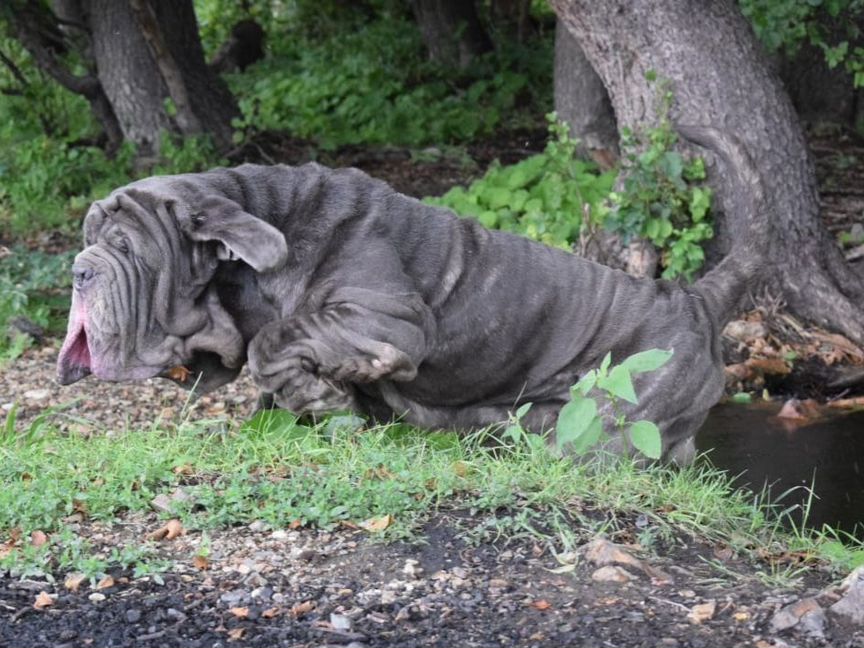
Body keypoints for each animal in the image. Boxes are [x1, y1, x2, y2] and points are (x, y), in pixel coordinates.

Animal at [57, 126, 760, 460]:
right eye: (91, 236)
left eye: (126, 247)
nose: (79, 269)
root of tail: (697, 302)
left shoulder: (386, 322)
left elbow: (278, 341)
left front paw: (320, 396)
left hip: (614, 426)